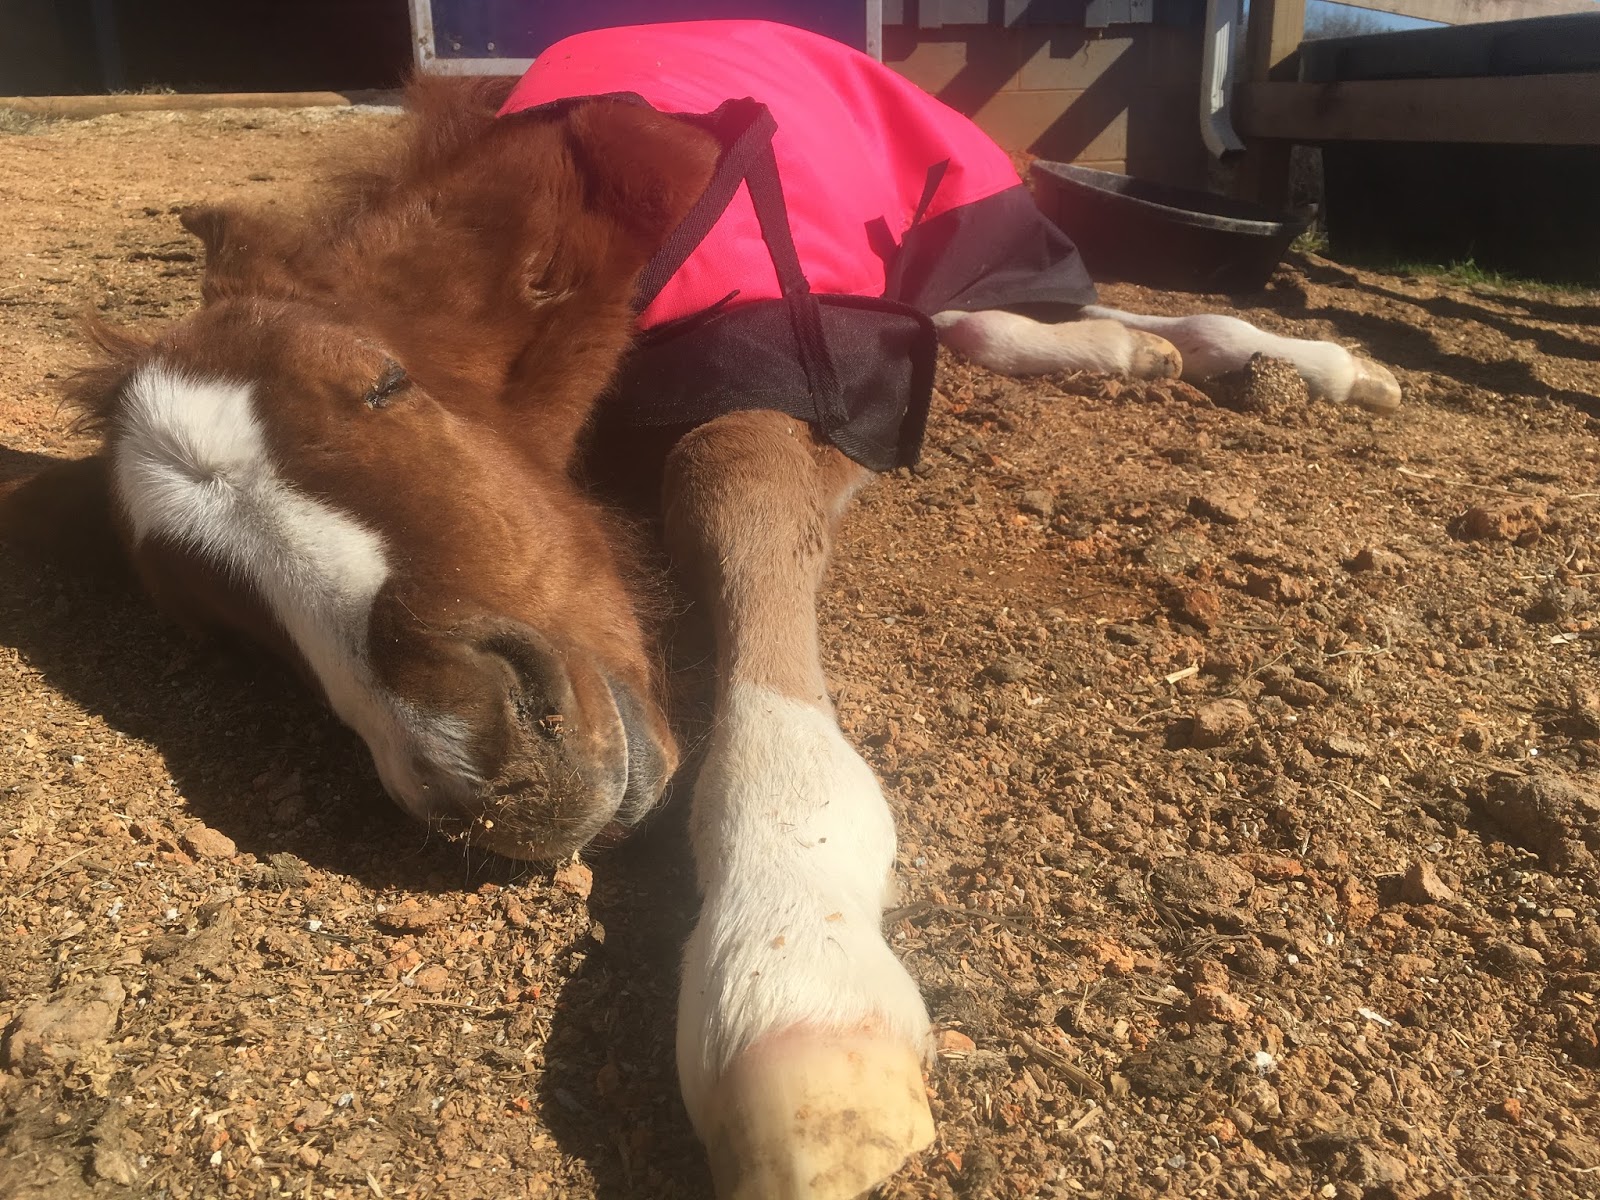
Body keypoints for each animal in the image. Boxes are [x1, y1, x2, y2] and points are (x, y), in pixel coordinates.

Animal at [0, 23, 1400, 1199]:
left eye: (384, 384)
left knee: (1028, 293)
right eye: (218, 627)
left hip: (954, 210)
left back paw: (1285, 357)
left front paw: (796, 980)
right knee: (977, 321)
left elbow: (729, 509)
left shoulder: (800, 353)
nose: (484, 760)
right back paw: (1132, 355)